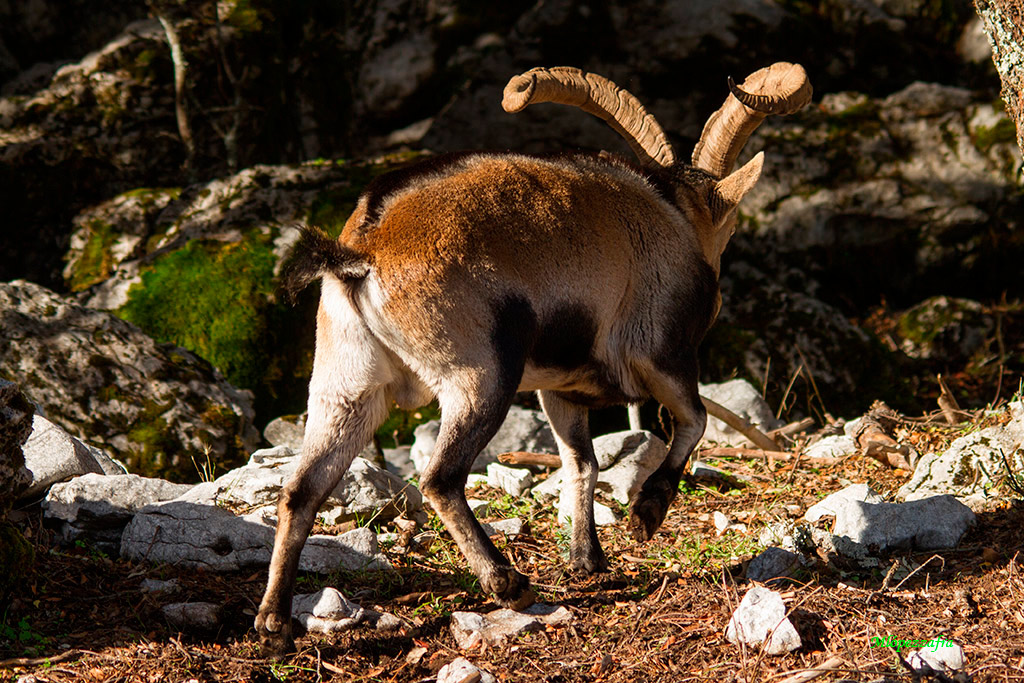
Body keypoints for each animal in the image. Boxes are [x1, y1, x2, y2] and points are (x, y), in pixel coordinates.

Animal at [253, 61, 806, 655]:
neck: (673, 219)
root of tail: (362, 252)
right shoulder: (662, 353)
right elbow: (695, 419)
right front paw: (646, 514)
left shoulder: (559, 388)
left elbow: (581, 462)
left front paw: (588, 559)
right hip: (481, 376)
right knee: (439, 479)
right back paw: (509, 584)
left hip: (345, 387)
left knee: (301, 490)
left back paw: (274, 622)